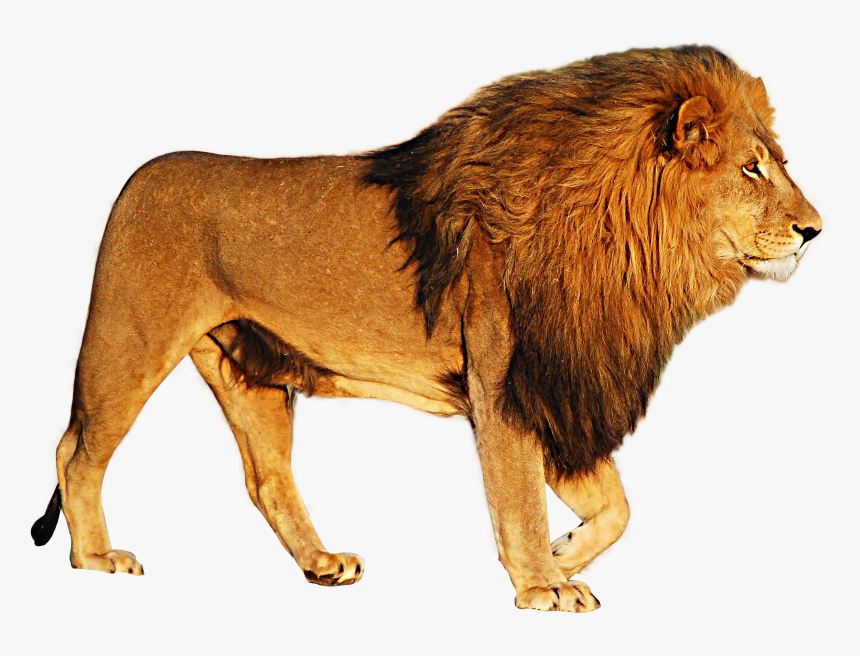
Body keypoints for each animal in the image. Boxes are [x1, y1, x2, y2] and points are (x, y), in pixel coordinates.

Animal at [31, 46, 820, 612]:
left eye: (779, 163)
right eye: (751, 169)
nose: (816, 229)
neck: (629, 248)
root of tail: (136, 178)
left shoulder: (557, 385)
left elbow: (618, 506)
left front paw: (565, 552)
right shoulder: (507, 385)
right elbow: (519, 498)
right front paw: (542, 586)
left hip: (249, 373)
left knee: (266, 478)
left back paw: (322, 566)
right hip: (128, 342)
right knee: (77, 451)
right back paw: (96, 559)